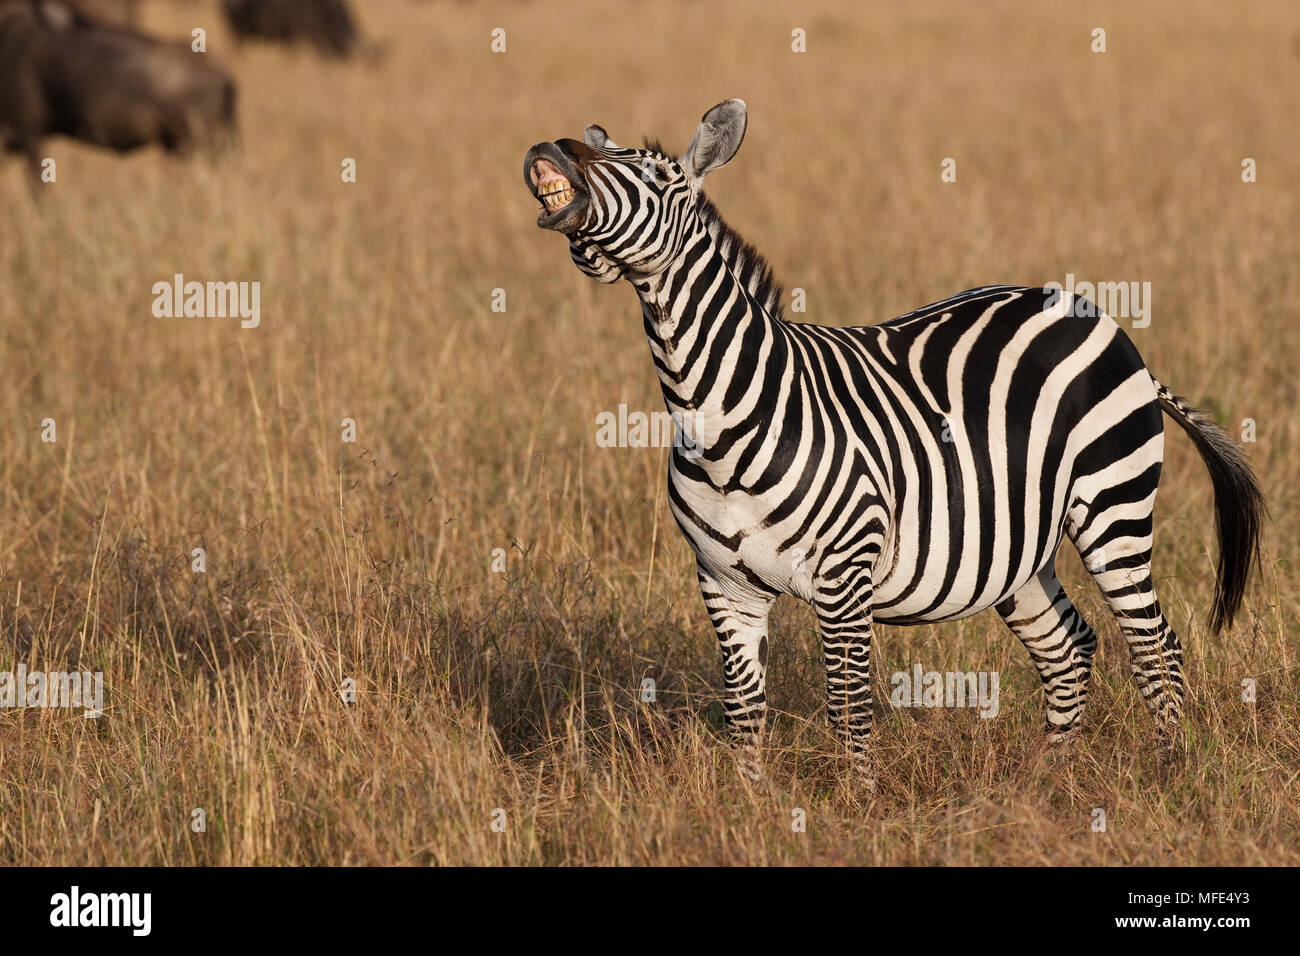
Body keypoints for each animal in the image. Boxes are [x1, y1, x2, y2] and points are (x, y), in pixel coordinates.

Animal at [522, 98, 1265, 788]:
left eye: (660, 174)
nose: (551, 148)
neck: (717, 419)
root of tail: (1091, 313)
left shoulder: (845, 575)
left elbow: (847, 705)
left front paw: (855, 802)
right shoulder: (723, 582)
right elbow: (744, 708)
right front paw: (749, 803)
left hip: (1113, 508)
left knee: (1155, 646)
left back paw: (1167, 770)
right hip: (1017, 550)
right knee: (1068, 646)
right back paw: (1046, 779)